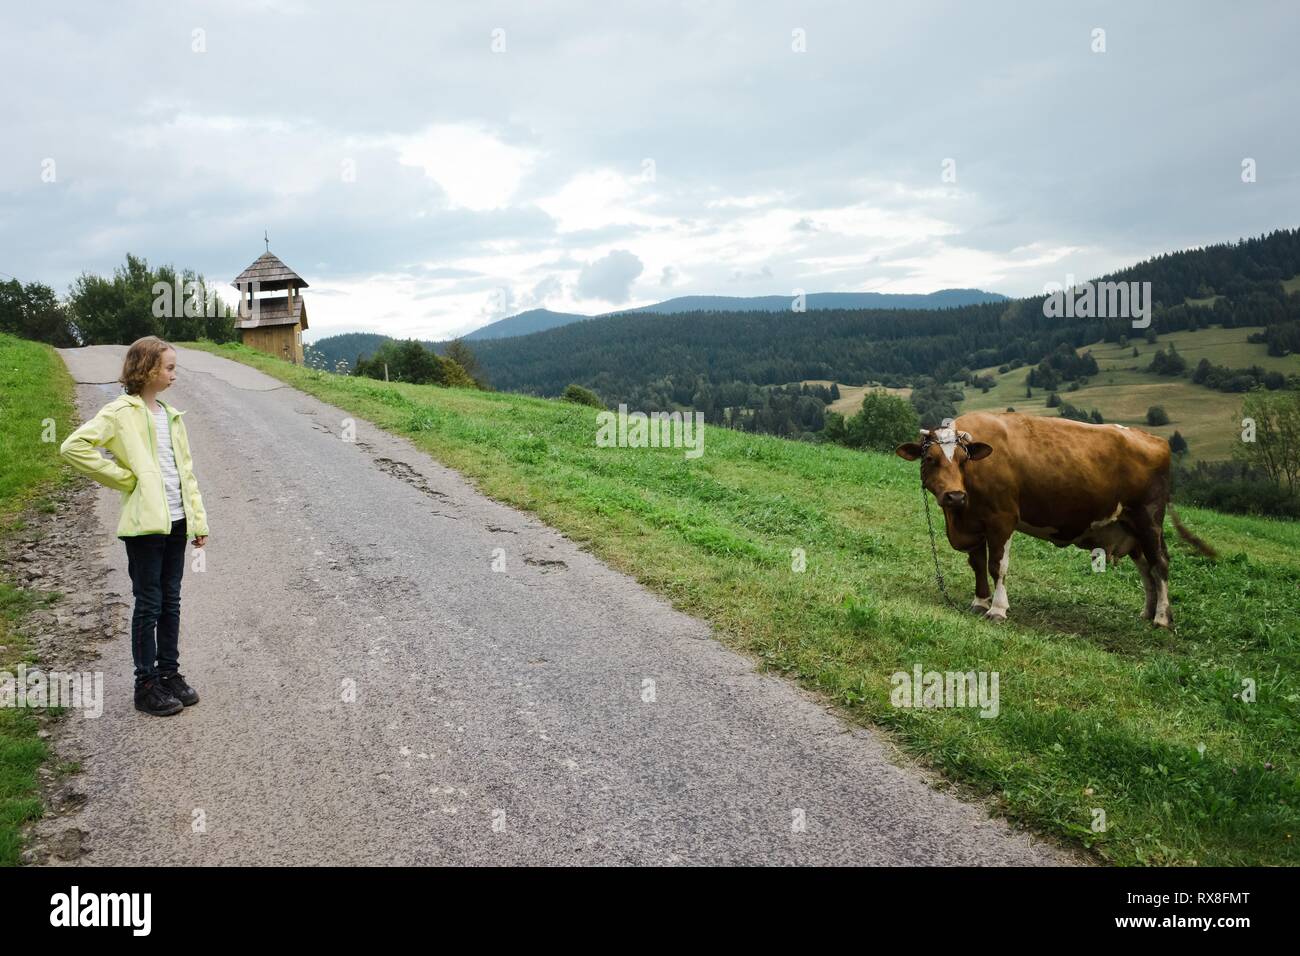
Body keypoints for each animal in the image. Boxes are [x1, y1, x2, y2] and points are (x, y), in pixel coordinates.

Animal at [895, 412, 1214, 628]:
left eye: (963, 461)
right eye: (930, 459)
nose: (954, 496)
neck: (959, 515)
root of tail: (1154, 439)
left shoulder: (1002, 519)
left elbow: (997, 565)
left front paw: (997, 608)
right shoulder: (972, 523)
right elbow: (977, 564)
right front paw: (979, 601)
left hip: (1148, 519)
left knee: (1160, 564)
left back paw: (1161, 617)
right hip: (1129, 527)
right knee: (1147, 569)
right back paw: (1147, 612)